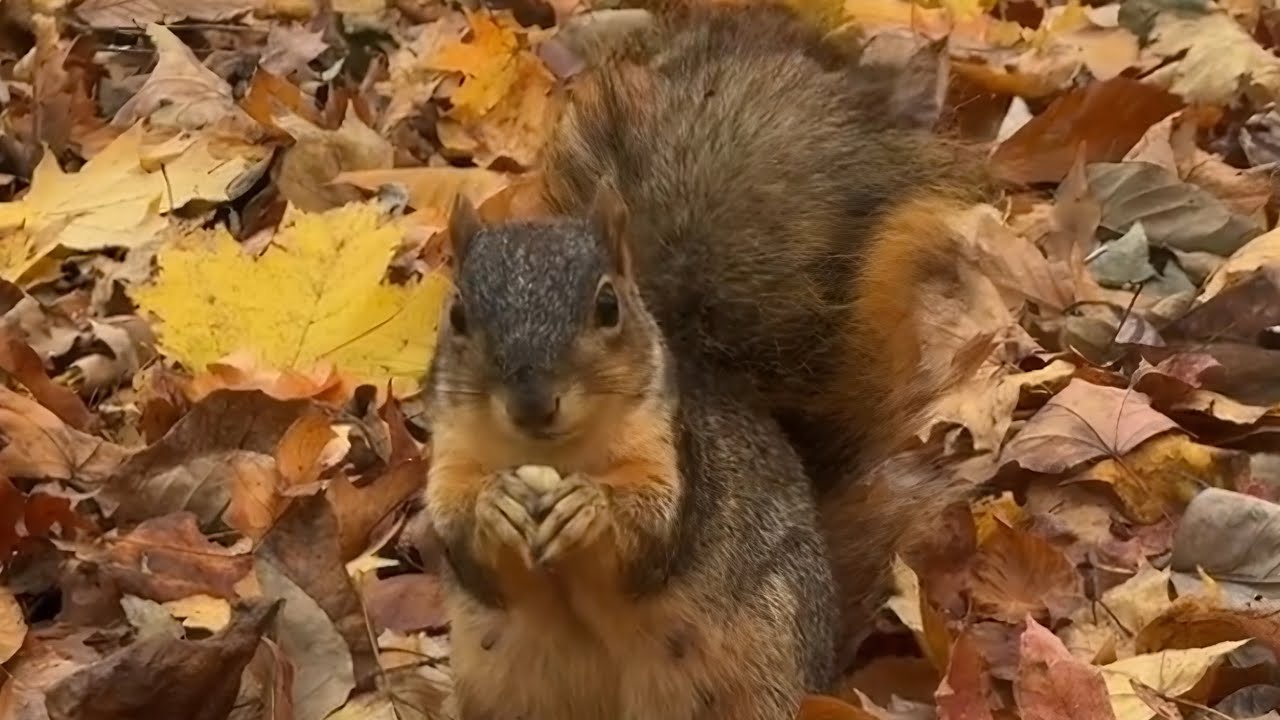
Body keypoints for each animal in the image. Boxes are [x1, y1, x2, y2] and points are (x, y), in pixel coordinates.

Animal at [422, 2, 987, 718]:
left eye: (607, 306)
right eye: (457, 314)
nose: (531, 403)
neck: (552, 455)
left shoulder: (677, 460)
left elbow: (650, 540)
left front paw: (591, 508)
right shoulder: (450, 465)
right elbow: (471, 558)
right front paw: (495, 506)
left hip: (761, 653)